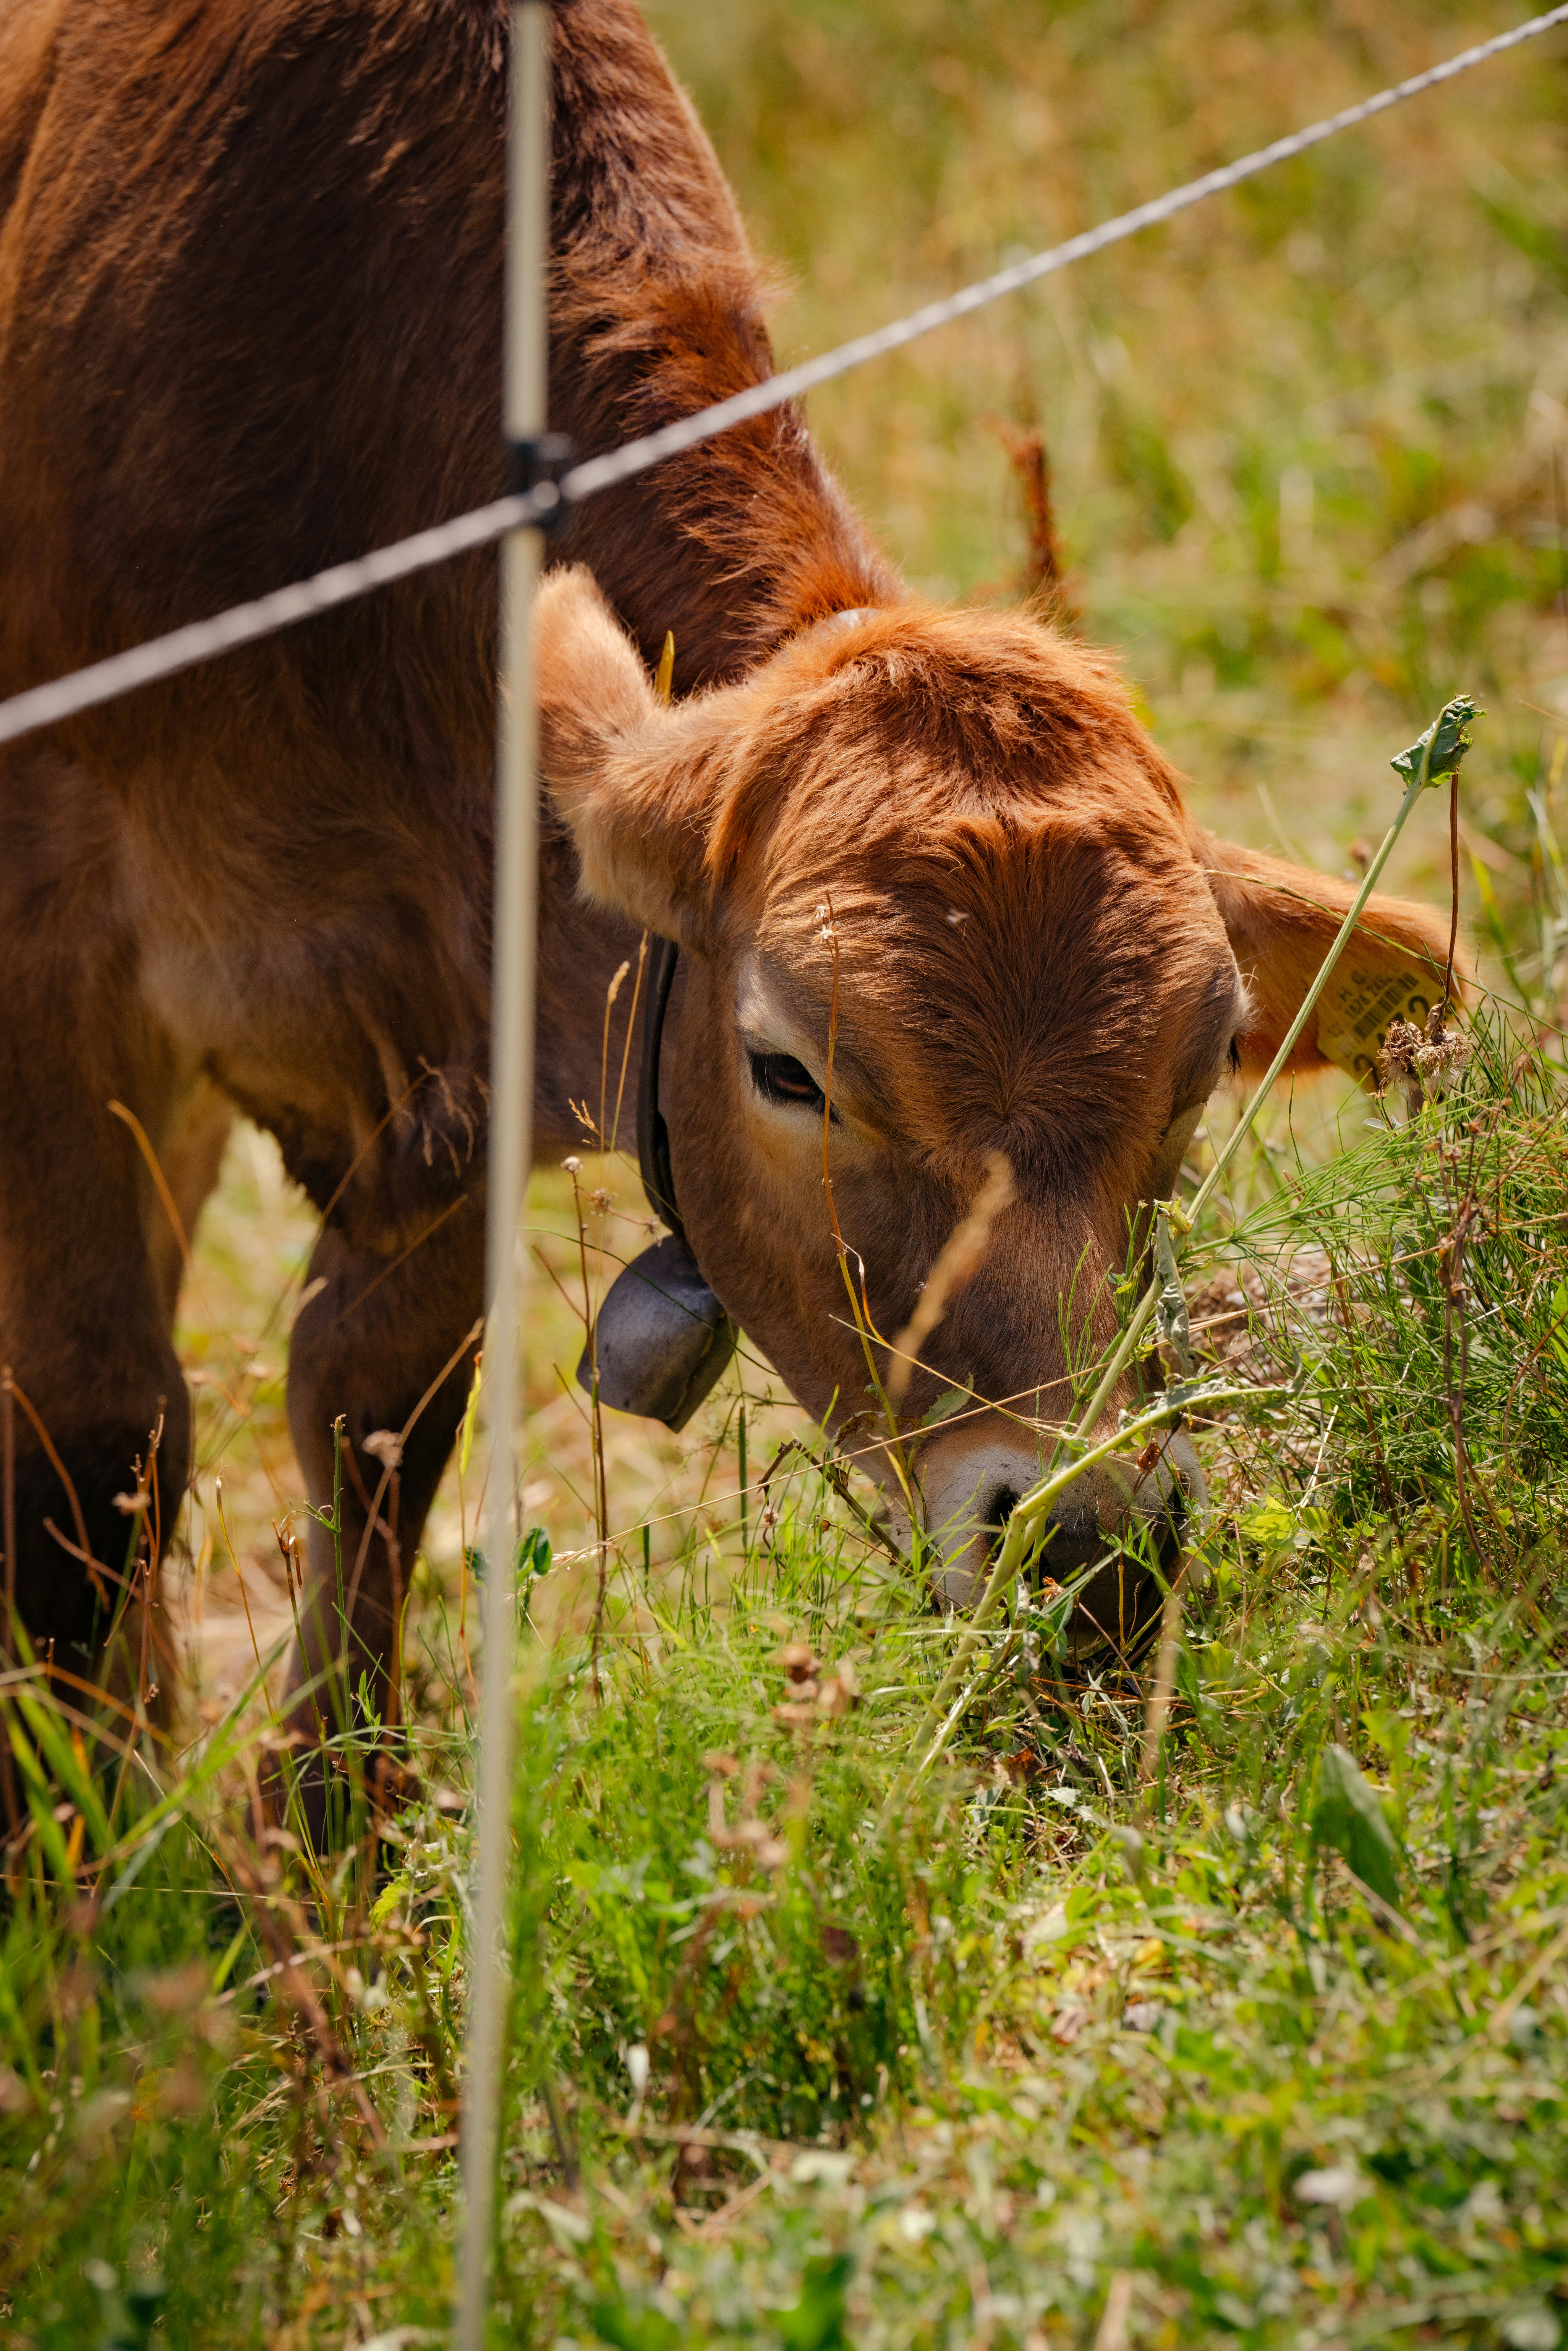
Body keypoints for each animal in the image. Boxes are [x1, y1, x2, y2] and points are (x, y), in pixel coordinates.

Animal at [0, 0, 1450, 1747]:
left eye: (1199, 1071)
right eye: (788, 1070)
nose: (1088, 1544)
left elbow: (373, 1427)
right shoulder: (55, 950)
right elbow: (91, 1446)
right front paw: (86, 1830)